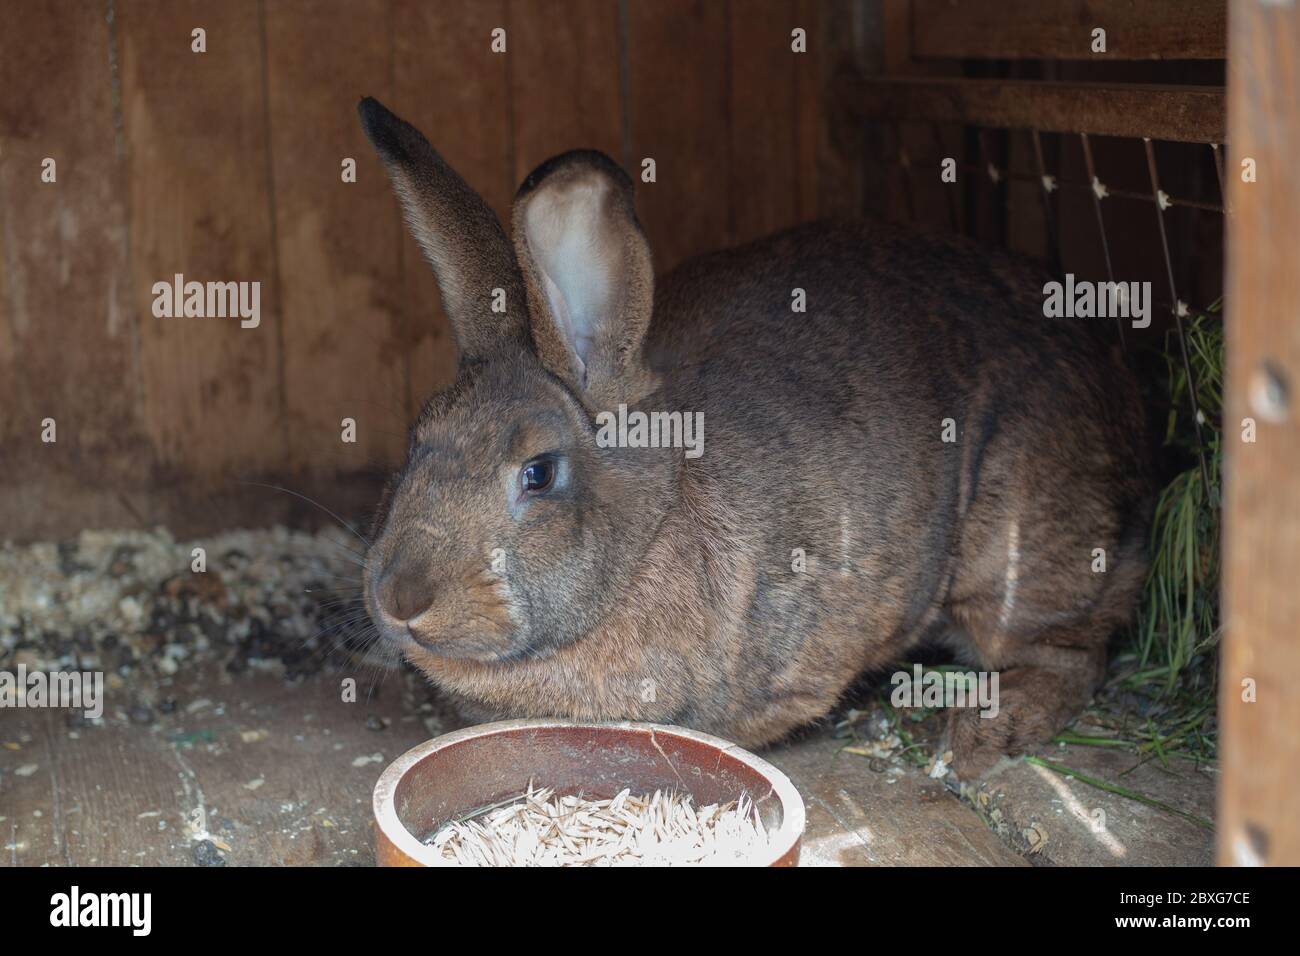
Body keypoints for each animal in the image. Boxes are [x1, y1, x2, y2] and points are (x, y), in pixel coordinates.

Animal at [356, 96, 1153, 778]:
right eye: (415, 442)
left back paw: (983, 735)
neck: (648, 541)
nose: (400, 598)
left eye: (538, 473)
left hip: (1014, 563)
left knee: (1069, 655)